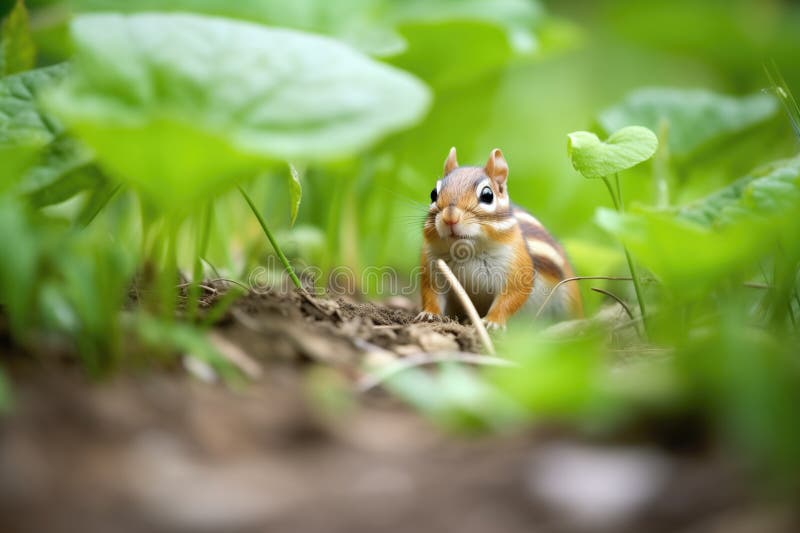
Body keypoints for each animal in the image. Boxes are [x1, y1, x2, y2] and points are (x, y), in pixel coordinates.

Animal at [417, 147, 583, 329]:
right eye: (433, 194)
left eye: (487, 195)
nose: (450, 218)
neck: (468, 254)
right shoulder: (432, 267)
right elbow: (431, 292)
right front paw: (430, 313)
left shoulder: (517, 268)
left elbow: (511, 297)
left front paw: (492, 321)